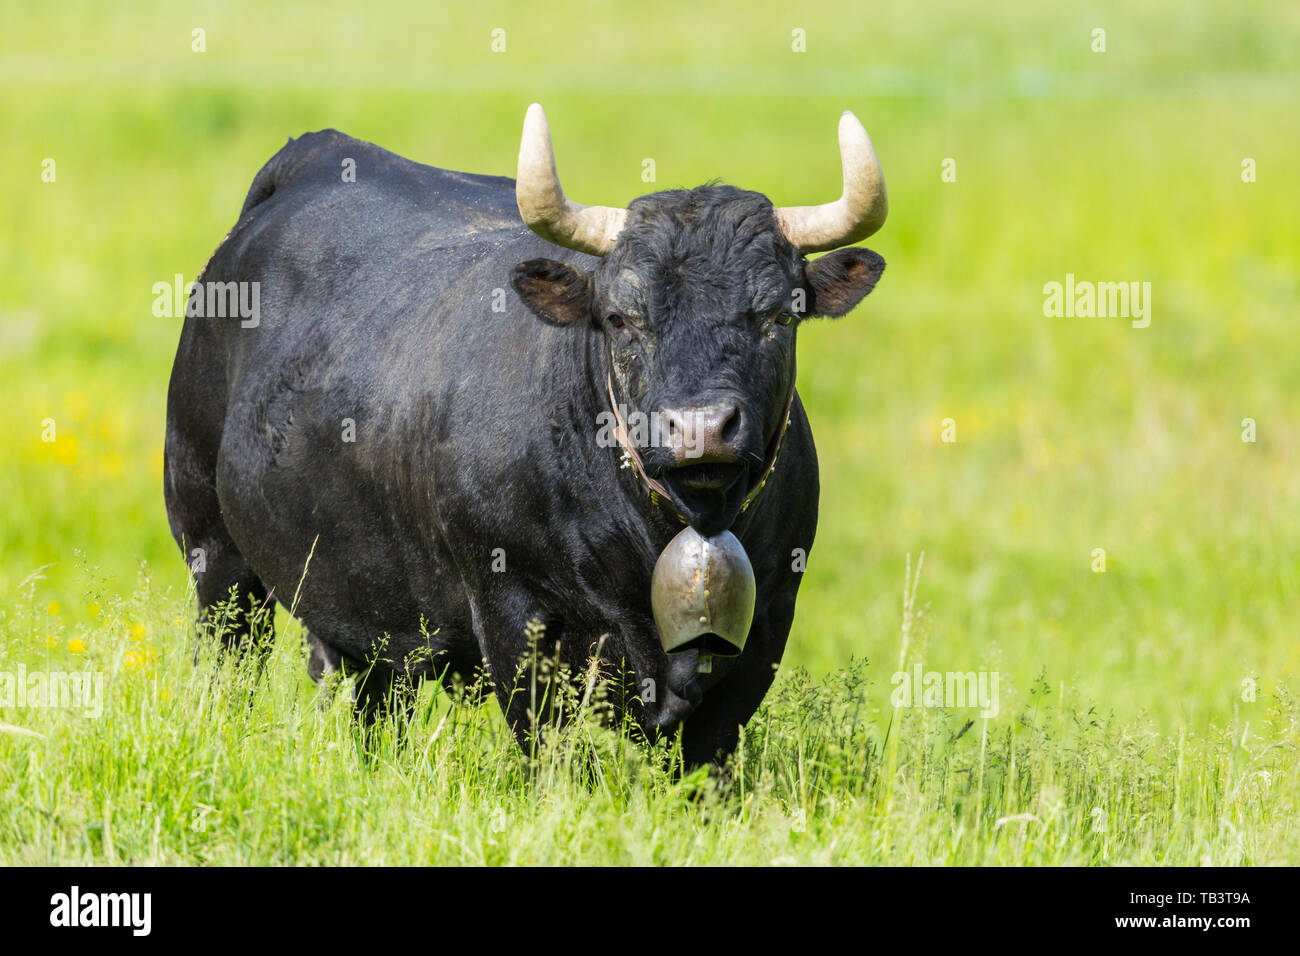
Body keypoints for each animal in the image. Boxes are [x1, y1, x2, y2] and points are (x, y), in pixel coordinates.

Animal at [164, 104, 887, 766]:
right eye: (620, 318)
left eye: (779, 315)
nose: (699, 427)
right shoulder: (513, 612)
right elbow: (549, 751)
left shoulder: (769, 620)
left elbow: (707, 760)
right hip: (215, 554)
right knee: (227, 666)